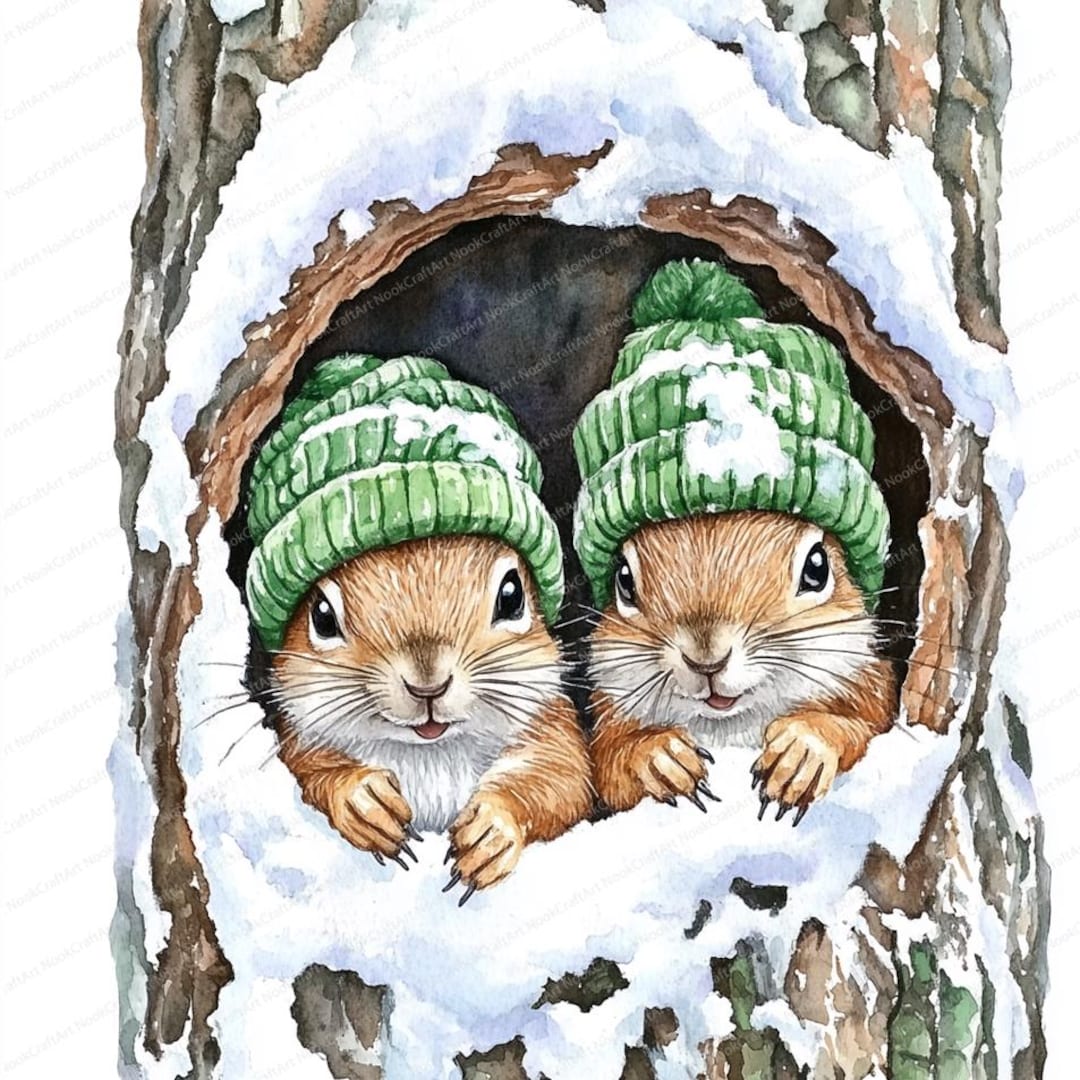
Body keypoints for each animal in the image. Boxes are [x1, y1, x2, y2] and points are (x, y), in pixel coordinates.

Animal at [245, 353, 591, 900]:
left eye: (512, 595)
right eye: (321, 616)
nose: (427, 684)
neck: (431, 751)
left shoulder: (548, 727)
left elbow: (561, 780)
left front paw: (491, 831)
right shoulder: (302, 737)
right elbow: (312, 772)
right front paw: (365, 802)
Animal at [571, 259, 896, 823]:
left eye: (817, 568)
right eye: (624, 581)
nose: (707, 660)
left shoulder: (875, 683)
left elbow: (862, 723)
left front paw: (801, 752)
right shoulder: (608, 722)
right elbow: (611, 764)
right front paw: (657, 758)